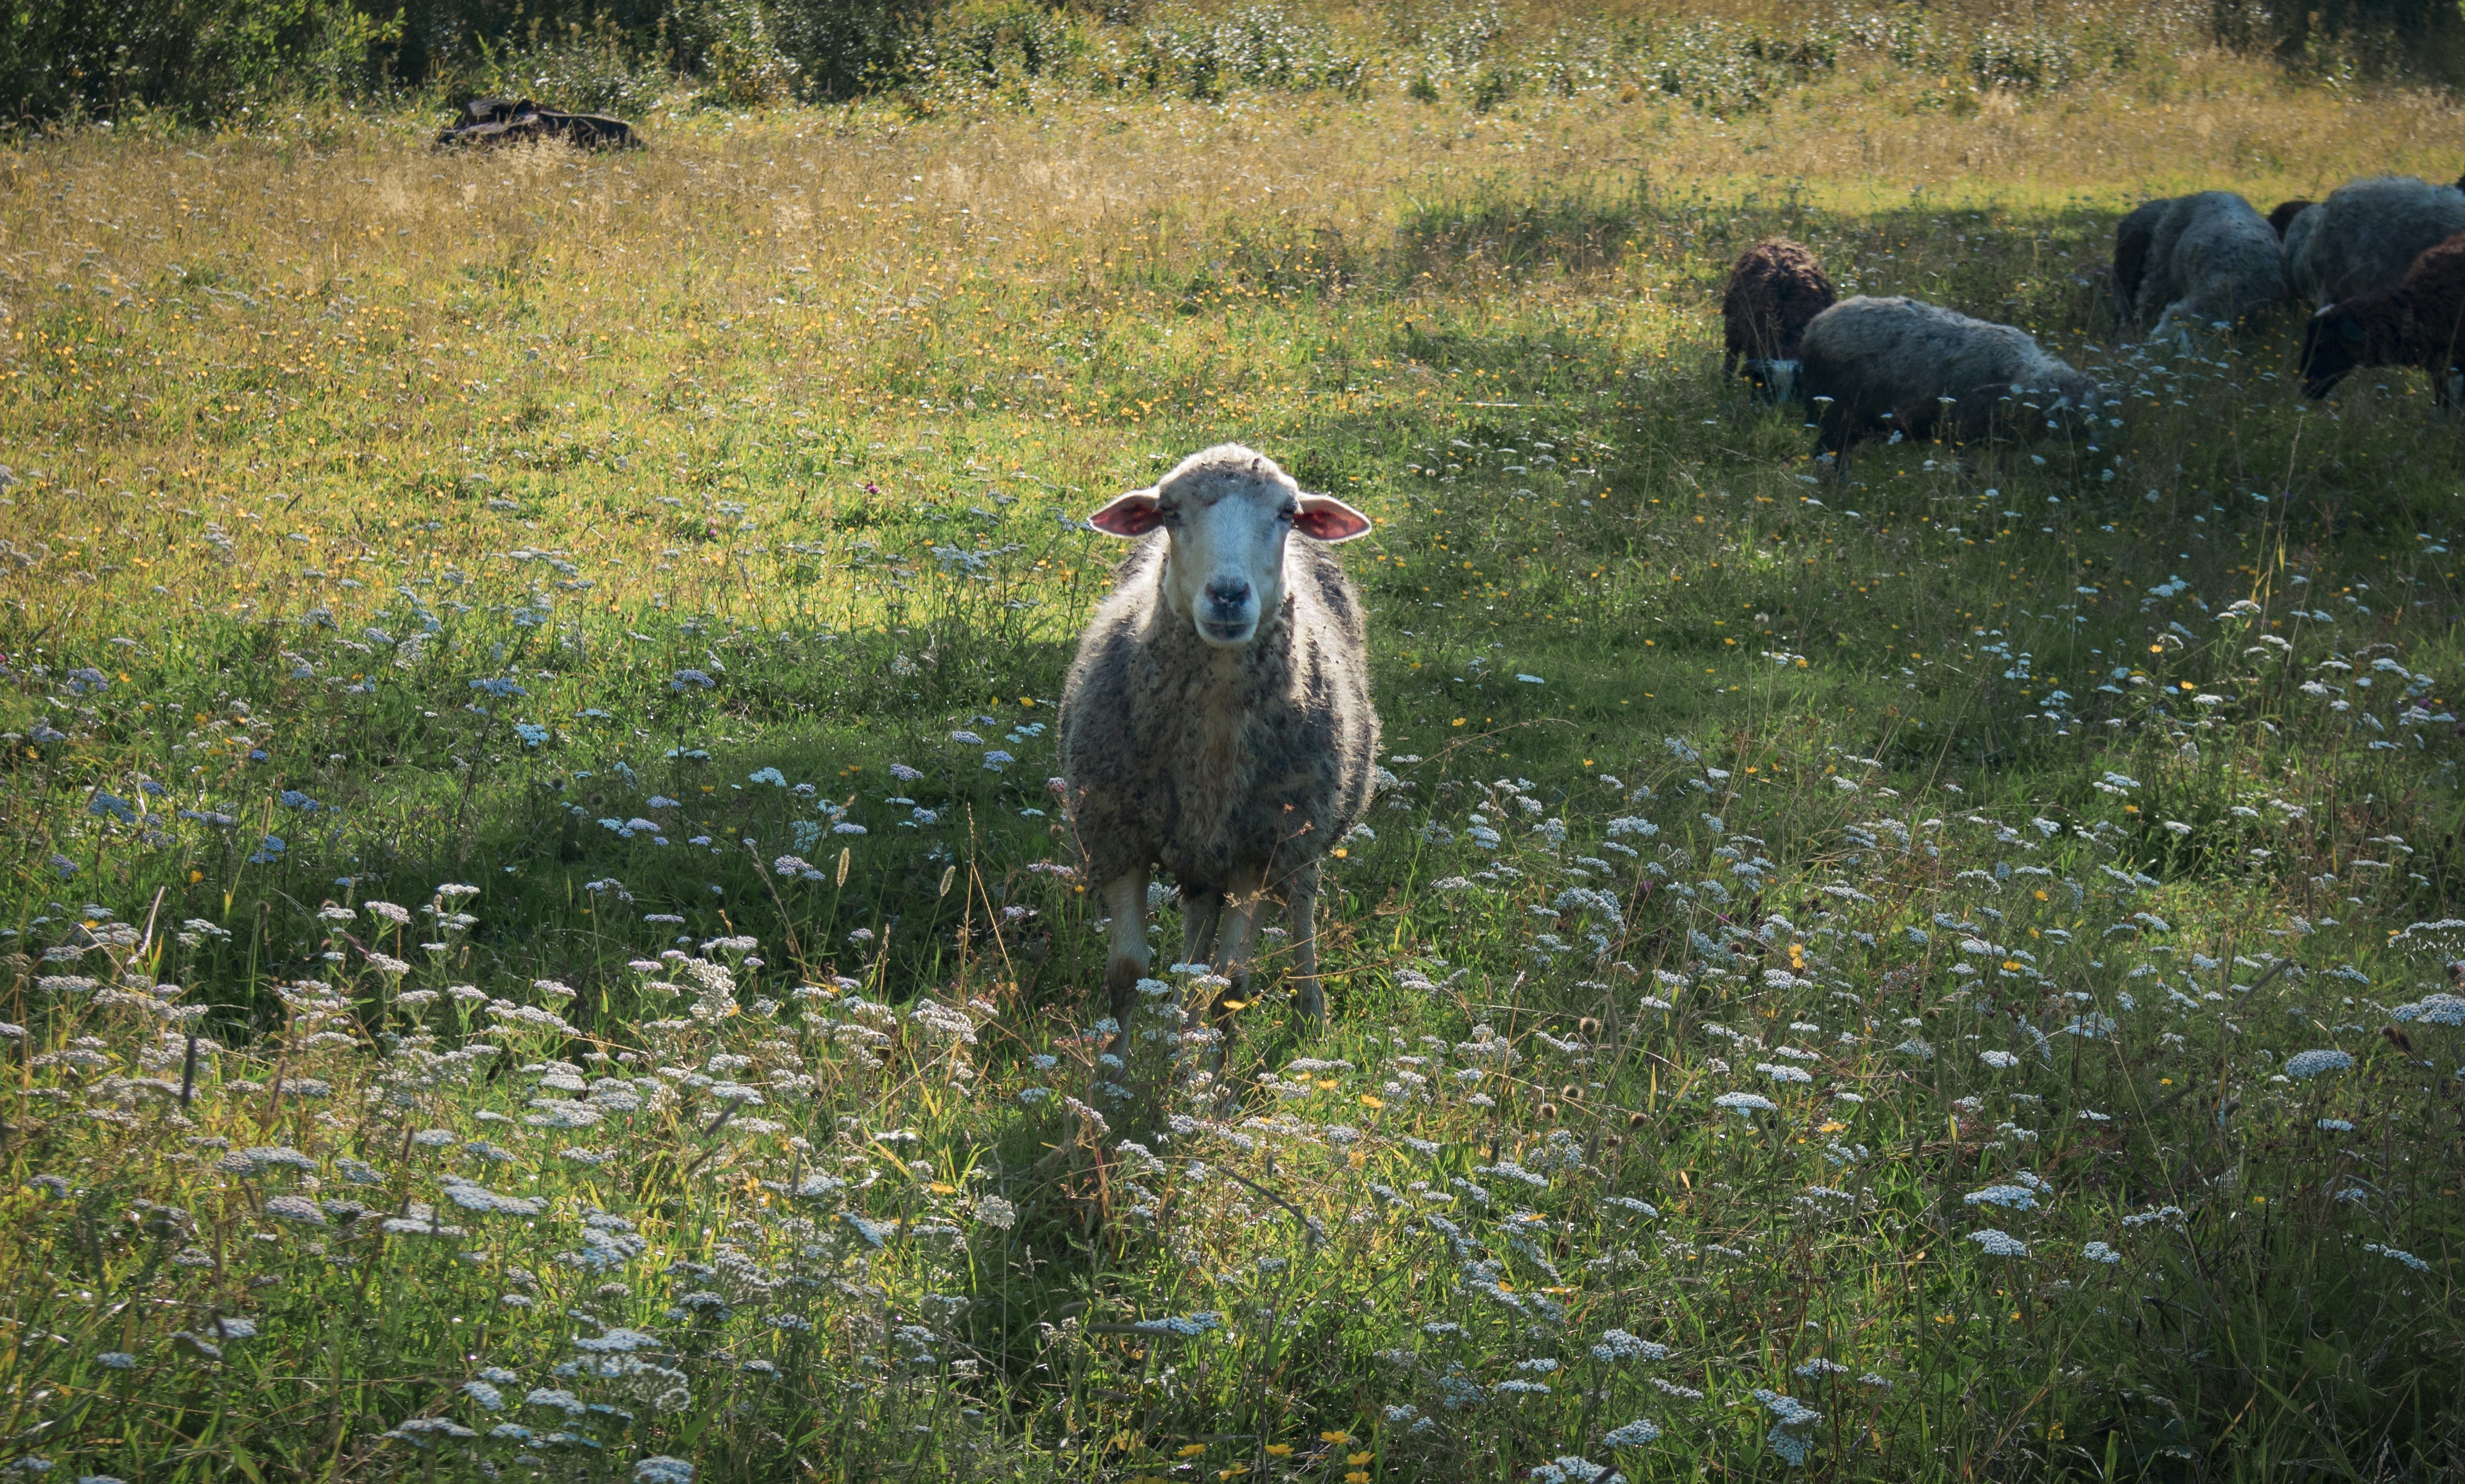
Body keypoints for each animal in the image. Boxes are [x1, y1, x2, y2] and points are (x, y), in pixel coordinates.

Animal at [1058, 444, 1380, 1038]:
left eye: (1286, 513)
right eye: (1168, 512)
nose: (1228, 596)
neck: (1213, 751)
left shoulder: (1259, 849)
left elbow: (1232, 979)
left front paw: (1214, 1062)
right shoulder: (1117, 836)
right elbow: (1128, 968)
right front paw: (1115, 1063)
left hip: (1300, 835)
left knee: (1300, 907)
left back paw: (1308, 1005)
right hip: (1206, 853)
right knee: (1197, 931)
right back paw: (1178, 1018)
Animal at [1721, 238, 1836, 403]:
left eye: (1798, 389)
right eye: (1769, 388)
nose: (1782, 408)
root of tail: (1777, 240)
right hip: (1732, 331)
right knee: (1730, 362)